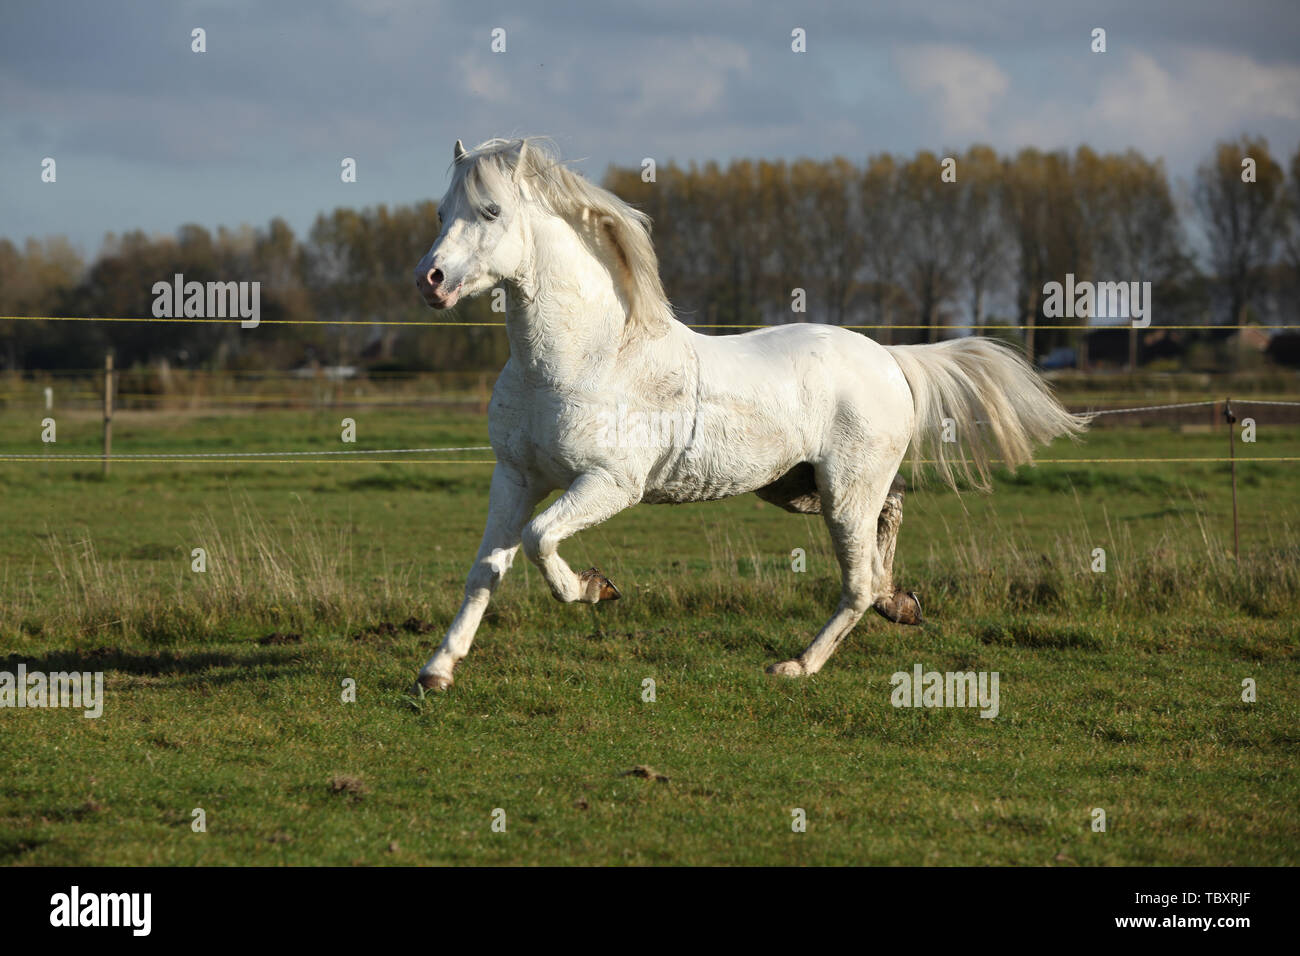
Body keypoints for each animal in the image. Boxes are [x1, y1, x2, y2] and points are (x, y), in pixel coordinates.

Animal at [411, 136, 1088, 692]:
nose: (431, 280)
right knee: (890, 518)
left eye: (491, 211)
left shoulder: (610, 484)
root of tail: (890, 359)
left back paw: (798, 664)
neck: (582, 357)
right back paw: (900, 604)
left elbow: (537, 538)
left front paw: (595, 589)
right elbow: (486, 569)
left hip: (844, 490)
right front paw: (436, 672)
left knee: (859, 580)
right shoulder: (516, 477)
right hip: (802, 487)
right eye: (442, 213)